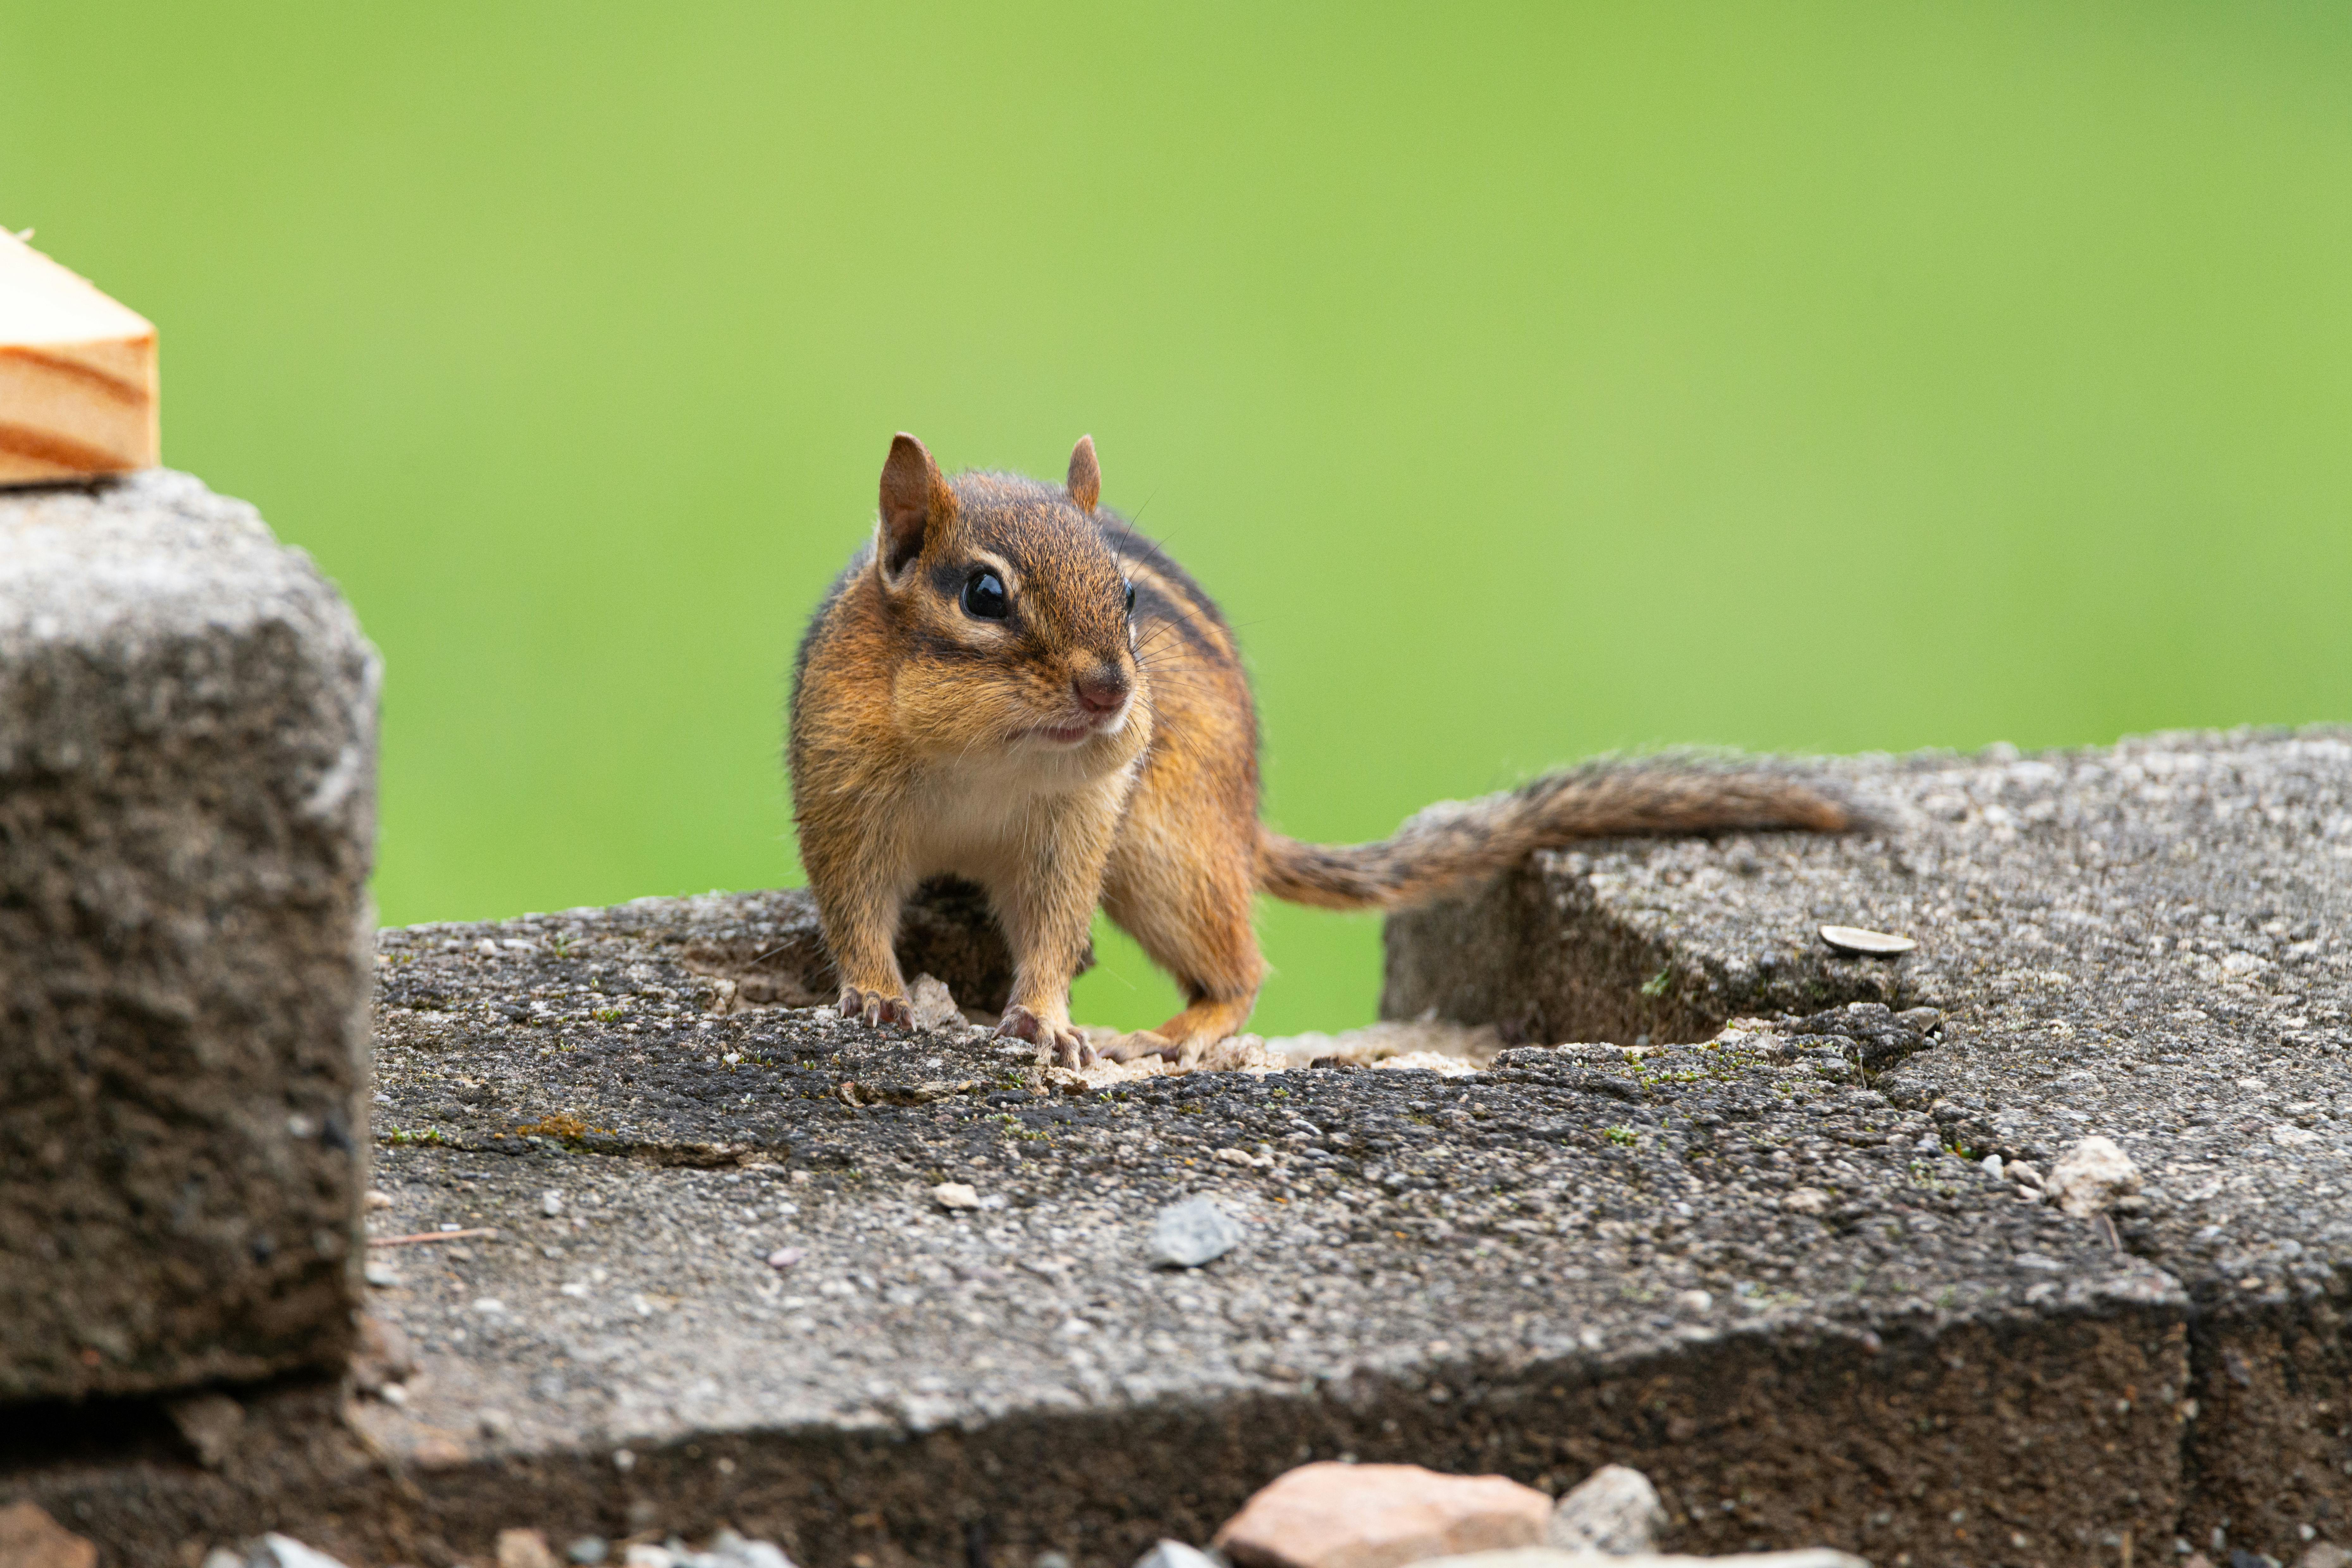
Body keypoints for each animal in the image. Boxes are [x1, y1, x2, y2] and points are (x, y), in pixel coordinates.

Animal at [788, 433, 1858, 1068]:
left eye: (1124, 594)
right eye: (983, 595)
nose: (1112, 691)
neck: (985, 755)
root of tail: (1245, 816)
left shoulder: (1075, 826)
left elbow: (1052, 925)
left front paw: (1044, 1017)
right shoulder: (844, 799)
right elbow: (854, 909)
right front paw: (876, 995)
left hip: (1163, 847)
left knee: (1237, 971)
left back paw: (1173, 1033)